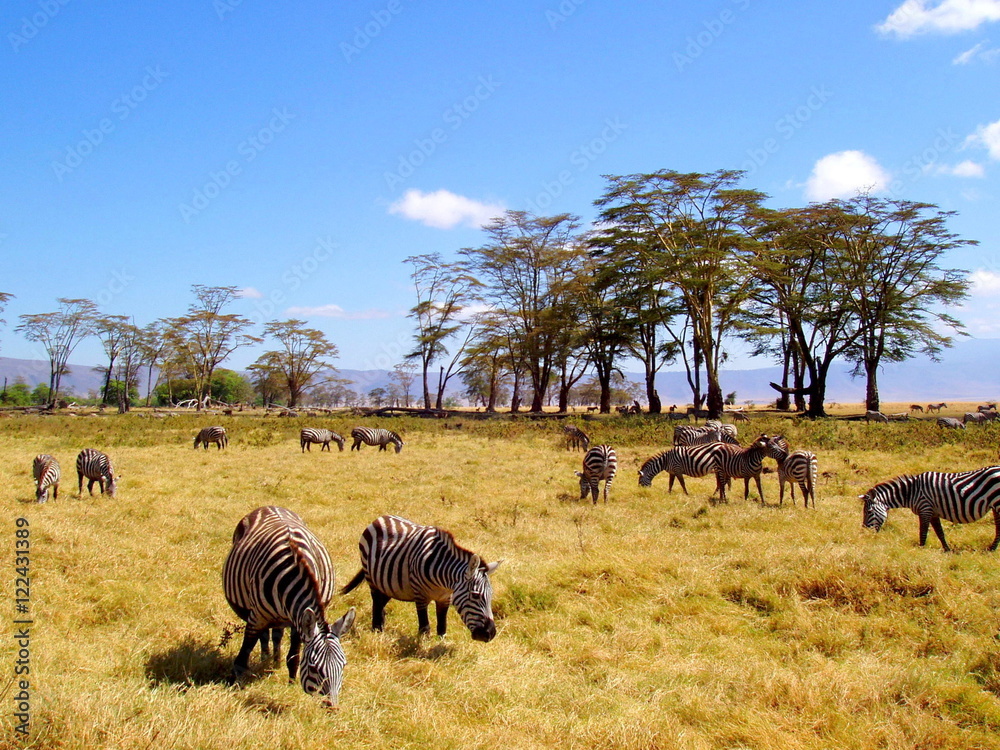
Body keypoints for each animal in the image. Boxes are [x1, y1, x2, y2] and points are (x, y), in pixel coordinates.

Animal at [222, 506, 356, 707]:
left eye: (343, 665)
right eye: (314, 668)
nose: (333, 707)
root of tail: (269, 506)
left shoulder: (298, 621)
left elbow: (294, 656)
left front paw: (291, 684)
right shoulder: (257, 617)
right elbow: (245, 650)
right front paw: (235, 684)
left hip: (280, 618)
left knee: (275, 635)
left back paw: (274, 662)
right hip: (259, 612)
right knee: (264, 636)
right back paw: (265, 661)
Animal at [340, 515, 501, 641]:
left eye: (491, 595)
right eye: (475, 595)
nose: (490, 634)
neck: (443, 581)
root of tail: (380, 518)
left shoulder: (445, 598)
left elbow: (442, 625)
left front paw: (440, 643)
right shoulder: (420, 595)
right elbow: (424, 626)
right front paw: (422, 645)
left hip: (388, 583)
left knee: (381, 601)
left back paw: (381, 625)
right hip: (371, 578)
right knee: (376, 603)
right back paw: (377, 629)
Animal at [861, 466, 1000, 551]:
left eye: (869, 512)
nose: (865, 532)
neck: (911, 492)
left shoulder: (925, 509)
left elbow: (923, 532)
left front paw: (921, 550)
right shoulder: (933, 513)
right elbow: (940, 533)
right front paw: (947, 550)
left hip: (997, 503)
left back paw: (992, 549)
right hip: (995, 506)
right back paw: (992, 548)